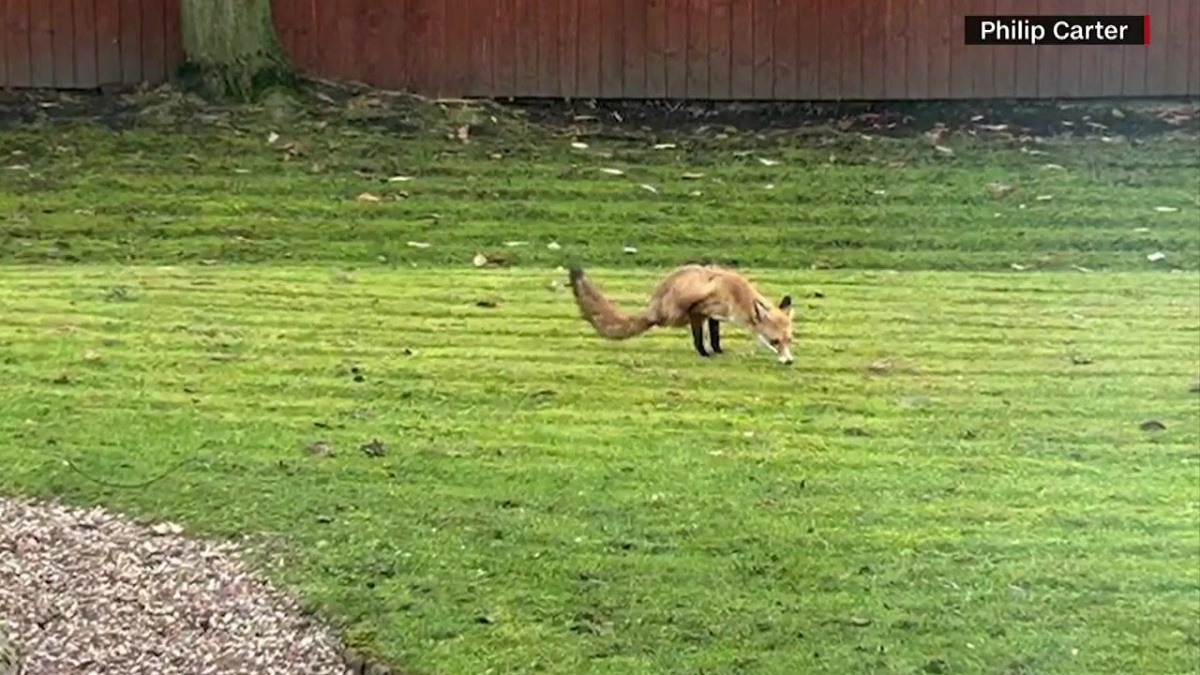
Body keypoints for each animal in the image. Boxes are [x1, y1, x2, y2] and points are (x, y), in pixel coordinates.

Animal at [567, 263, 796, 364]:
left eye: (789, 340)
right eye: (775, 341)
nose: (790, 361)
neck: (735, 294)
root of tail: (654, 307)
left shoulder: (715, 316)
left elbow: (715, 337)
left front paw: (718, 350)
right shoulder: (700, 311)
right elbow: (698, 339)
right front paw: (705, 354)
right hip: (677, 312)